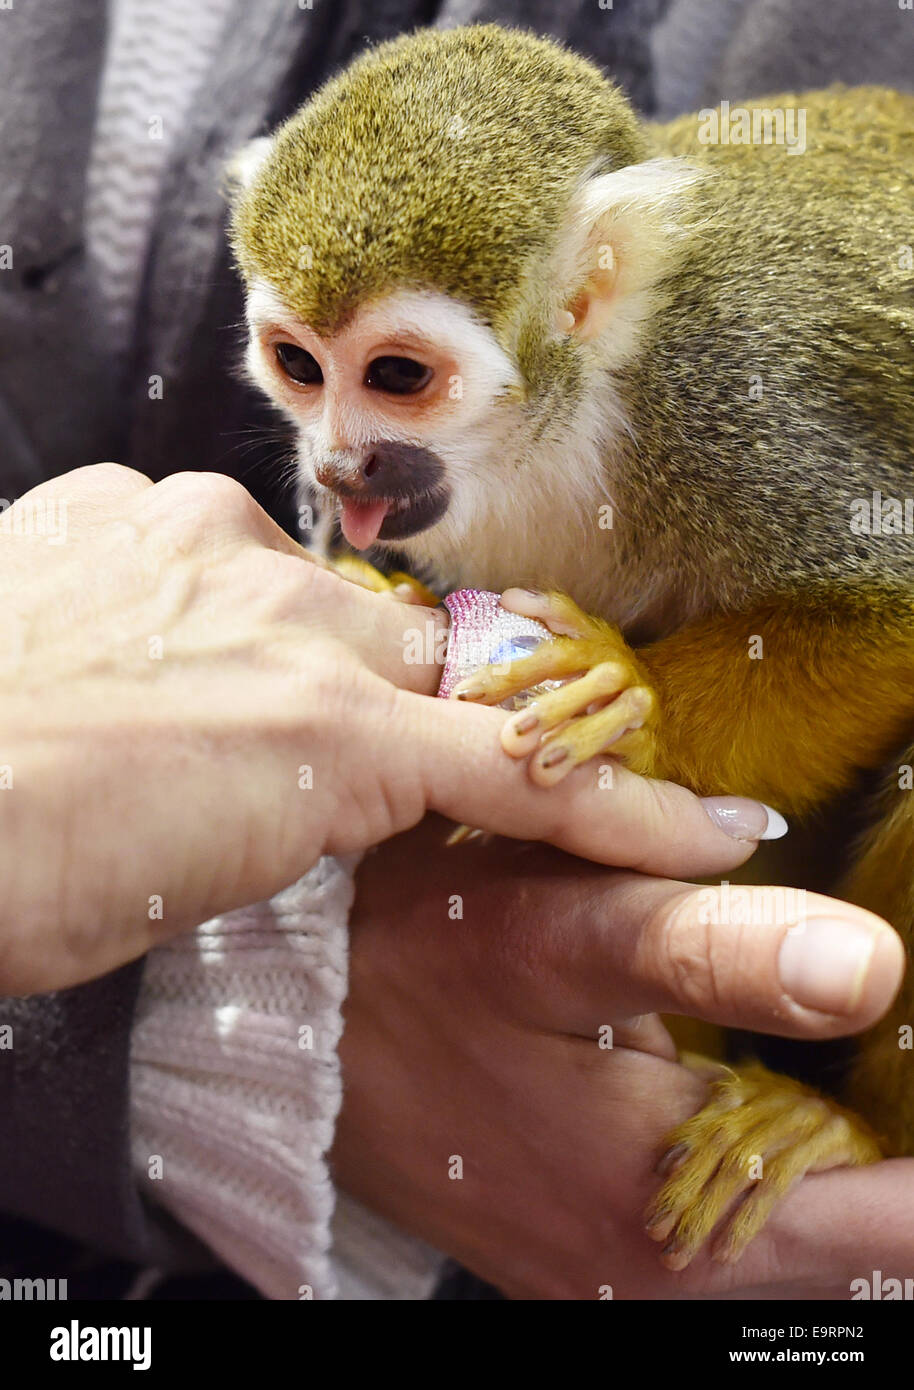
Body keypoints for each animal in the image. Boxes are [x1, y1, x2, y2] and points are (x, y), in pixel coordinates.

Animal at [227, 24, 914, 1272]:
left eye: (395, 375)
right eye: (298, 363)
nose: (339, 468)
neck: (557, 421)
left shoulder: (739, 401)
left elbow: (883, 604)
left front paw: (630, 699)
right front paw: (367, 579)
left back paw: (853, 1126)